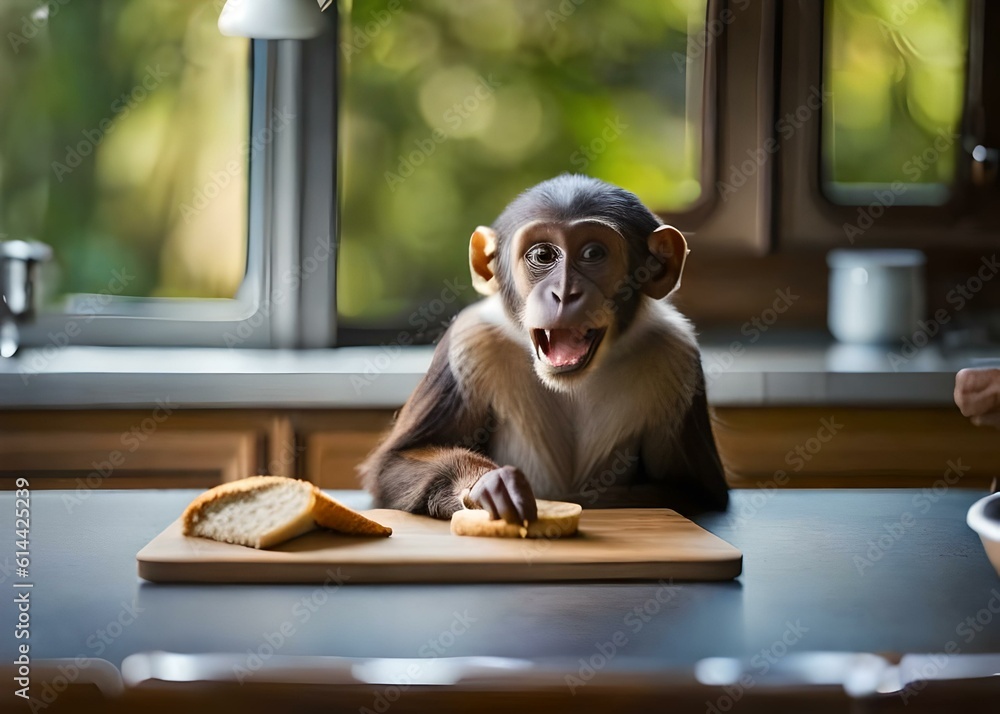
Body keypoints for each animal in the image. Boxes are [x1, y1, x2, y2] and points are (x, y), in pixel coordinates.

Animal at [359, 174, 729, 524]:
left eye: (593, 254)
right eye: (543, 255)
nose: (564, 292)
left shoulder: (677, 356)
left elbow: (690, 489)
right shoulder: (468, 343)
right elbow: (397, 459)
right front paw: (488, 484)